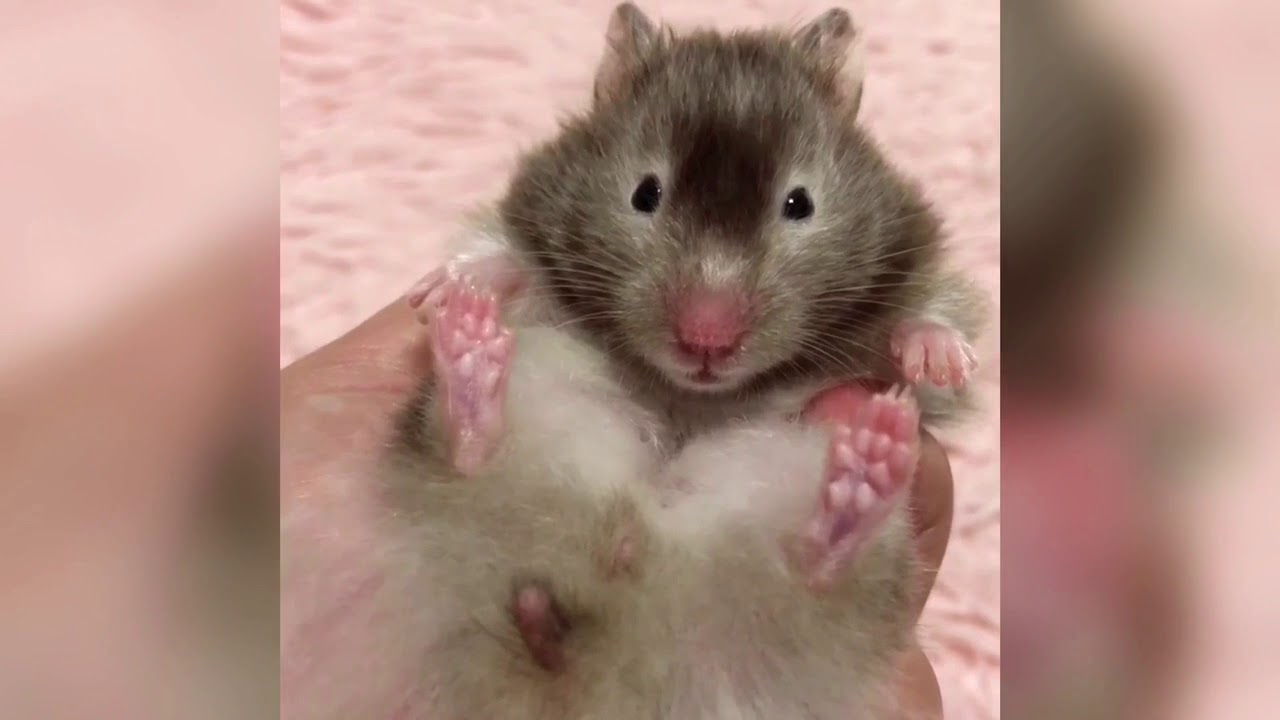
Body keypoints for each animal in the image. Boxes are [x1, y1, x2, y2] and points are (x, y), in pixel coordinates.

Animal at [409, 3, 987, 447]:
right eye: (645, 193)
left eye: (800, 203)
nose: (707, 343)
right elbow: (504, 254)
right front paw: (446, 293)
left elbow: (932, 332)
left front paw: (940, 359)